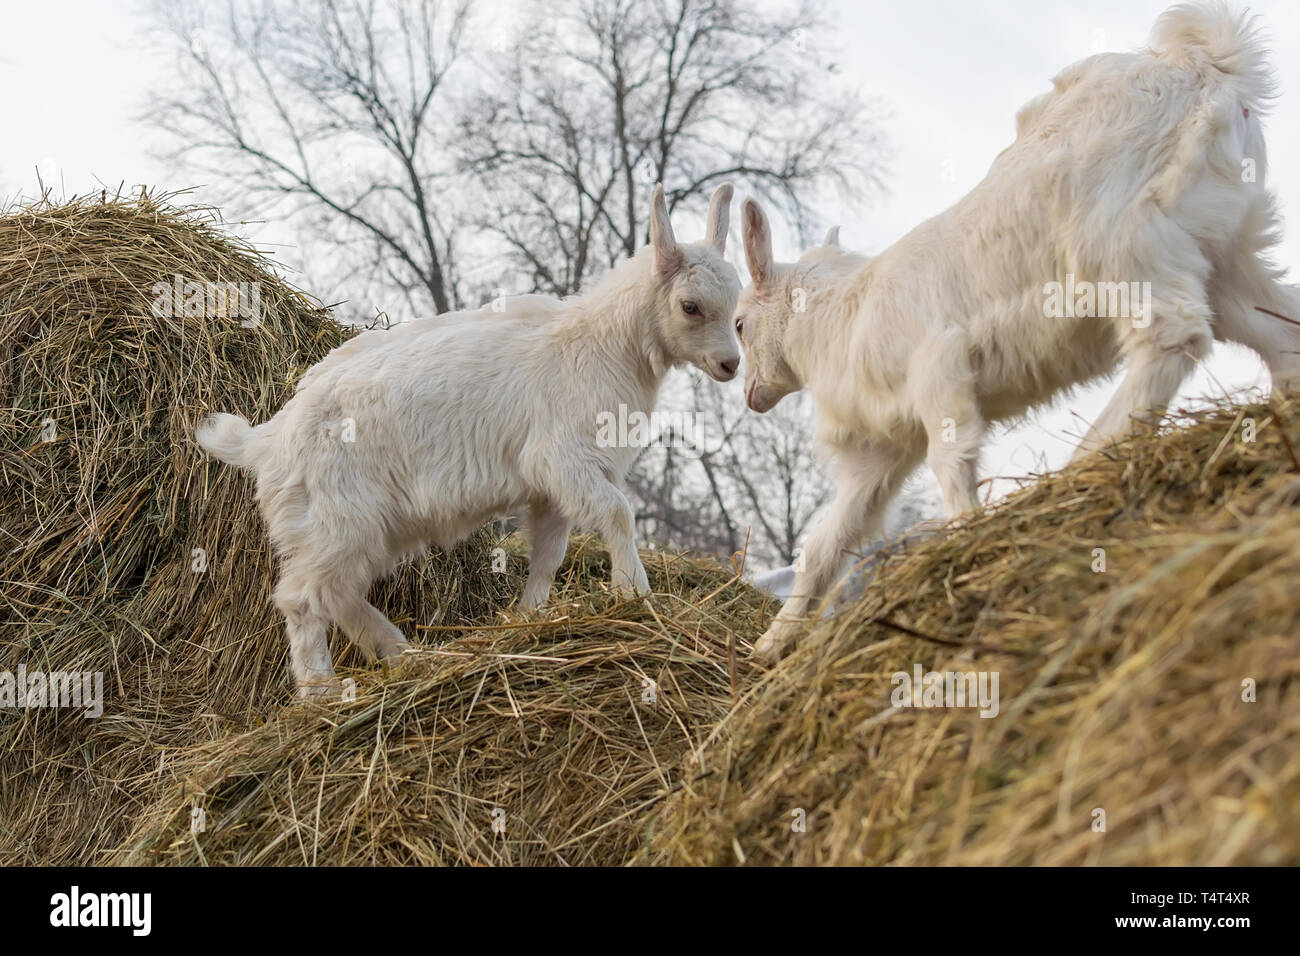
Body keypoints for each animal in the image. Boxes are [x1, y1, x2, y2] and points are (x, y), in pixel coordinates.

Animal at [197, 183, 741, 695]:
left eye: (736, 308)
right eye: (690, 306)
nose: (731, 364)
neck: (599, 345)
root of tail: (264, 442)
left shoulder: (553, 489)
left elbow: (548, 557)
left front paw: (530, 617)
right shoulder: (564, 459)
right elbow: (619, 515)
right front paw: (634, 593)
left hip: (365, 530)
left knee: (341, 595)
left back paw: (404, 655)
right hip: (335, 521)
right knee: (304, 600)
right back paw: (323, 695)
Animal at [734, 2, 1300, 658]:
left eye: (740, 324)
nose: (750, 396)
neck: (842, 314)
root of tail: (1206, 62)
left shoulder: (939, 369)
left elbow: (952, 462)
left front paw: (966, 538)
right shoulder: (882, 449)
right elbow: (828, 541)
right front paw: (771, 646)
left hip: (1122, 239)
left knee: (1172, 333)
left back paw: (1090, 459)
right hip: (1227, 252)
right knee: (1281, 332)